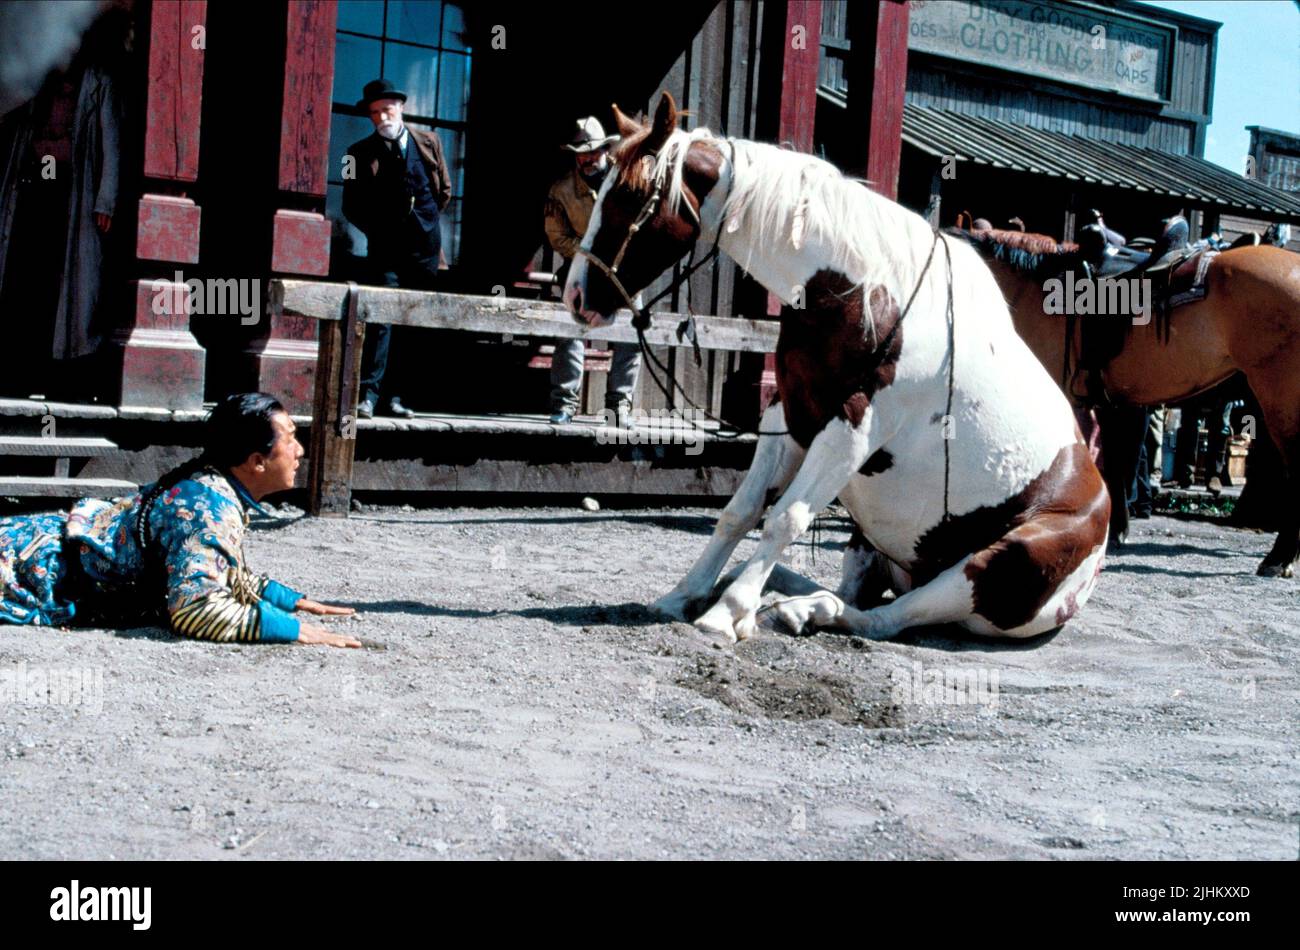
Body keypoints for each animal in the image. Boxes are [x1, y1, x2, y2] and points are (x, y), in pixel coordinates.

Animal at [563, 91, 1110, 642]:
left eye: (629, 195)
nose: (576, 296)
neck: (862, 294)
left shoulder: (850, 432)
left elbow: (786, 519)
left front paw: (725, 614)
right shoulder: (787, 417)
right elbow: (740, 512)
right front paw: (684, 595)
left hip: (995, 566)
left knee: (888, 617)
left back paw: (788, 607)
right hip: (868, 542)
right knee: (852, 594)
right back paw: (789, 601)